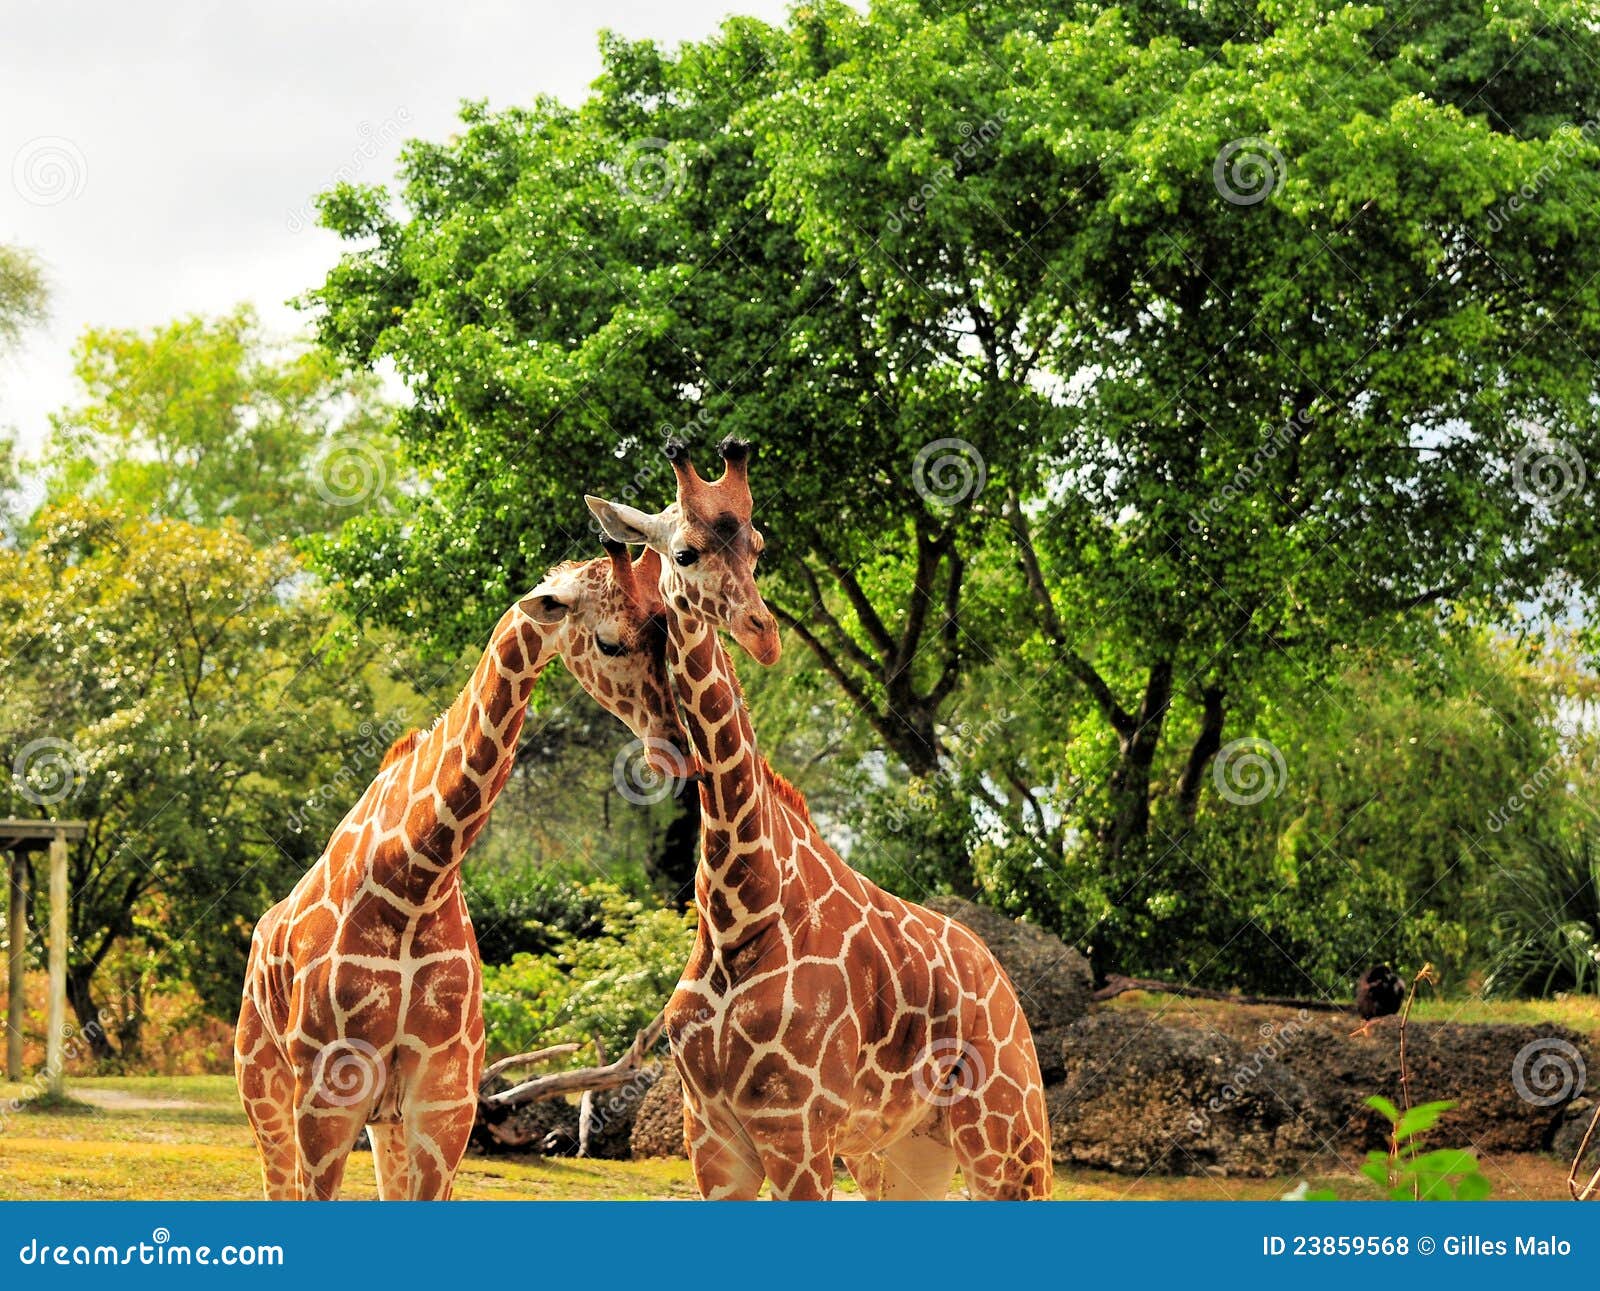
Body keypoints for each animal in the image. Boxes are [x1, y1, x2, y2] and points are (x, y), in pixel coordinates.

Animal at [235, 543, 691, 1200]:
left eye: (666, 632)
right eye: (609, 642)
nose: (676, 746)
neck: (414, 880)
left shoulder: (445, 1099)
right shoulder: (324, 1093)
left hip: (385, 1121)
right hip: (266, 1093)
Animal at [586, 441, 1053, 1200]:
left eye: (758, 544)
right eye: (684, 552)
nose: (764, 634)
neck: (738, 913)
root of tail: (1003, 979)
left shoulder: (797, 1132)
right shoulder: (711, 1137)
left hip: (1008, 1135)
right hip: (903, 1151)